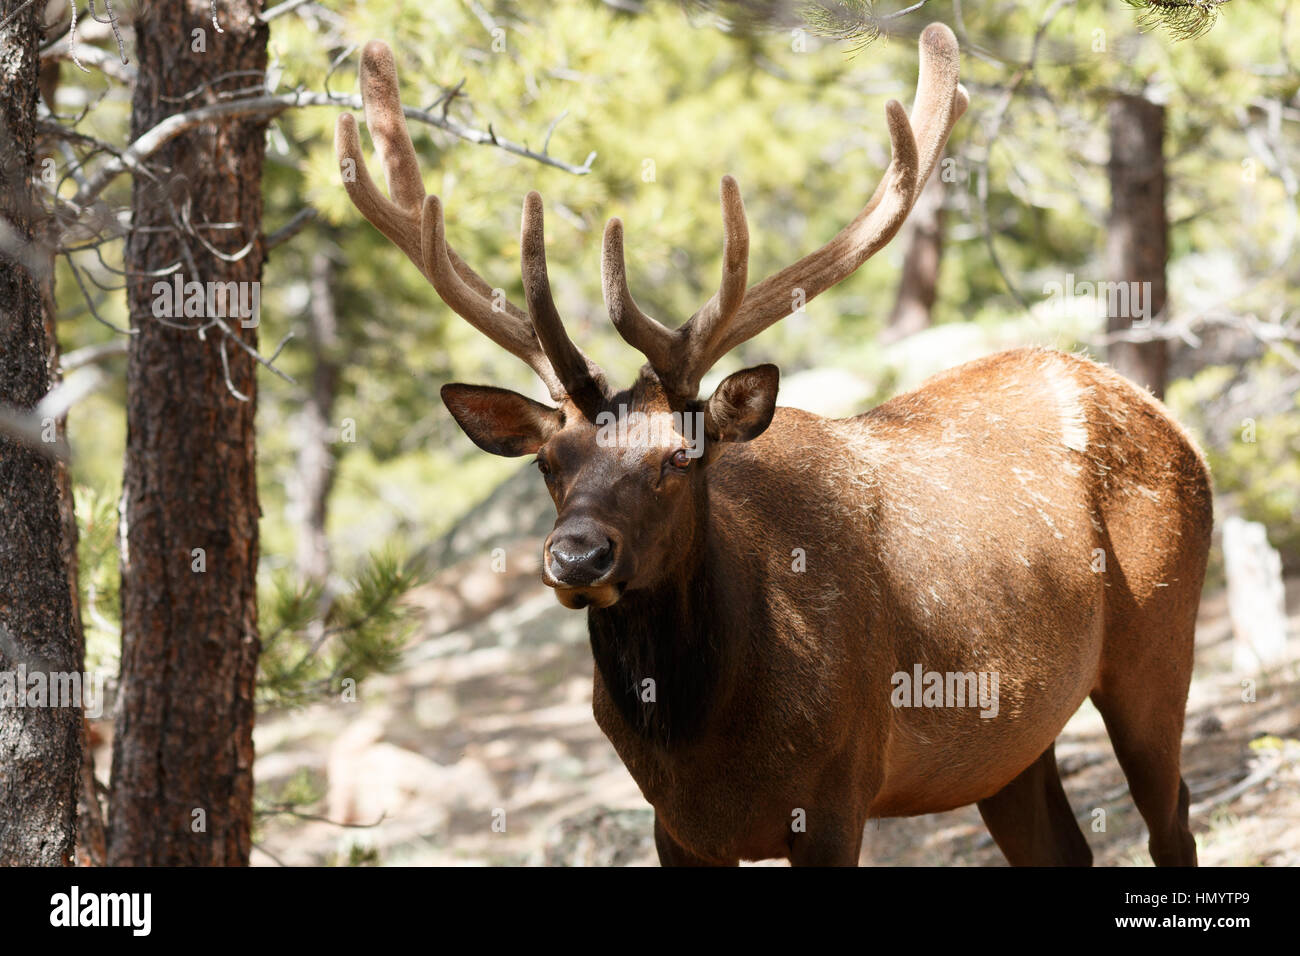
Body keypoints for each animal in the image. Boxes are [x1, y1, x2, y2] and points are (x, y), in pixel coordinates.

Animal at [336, 24, 1212, 867]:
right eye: (549, 465)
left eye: (679, 456)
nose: (577, 556)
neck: (700, 741)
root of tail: (1164, 416)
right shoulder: (674, 831)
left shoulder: (837, 796)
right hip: (1007, 747)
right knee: (1068, 847)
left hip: (1158, 647)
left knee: (1174, 822)